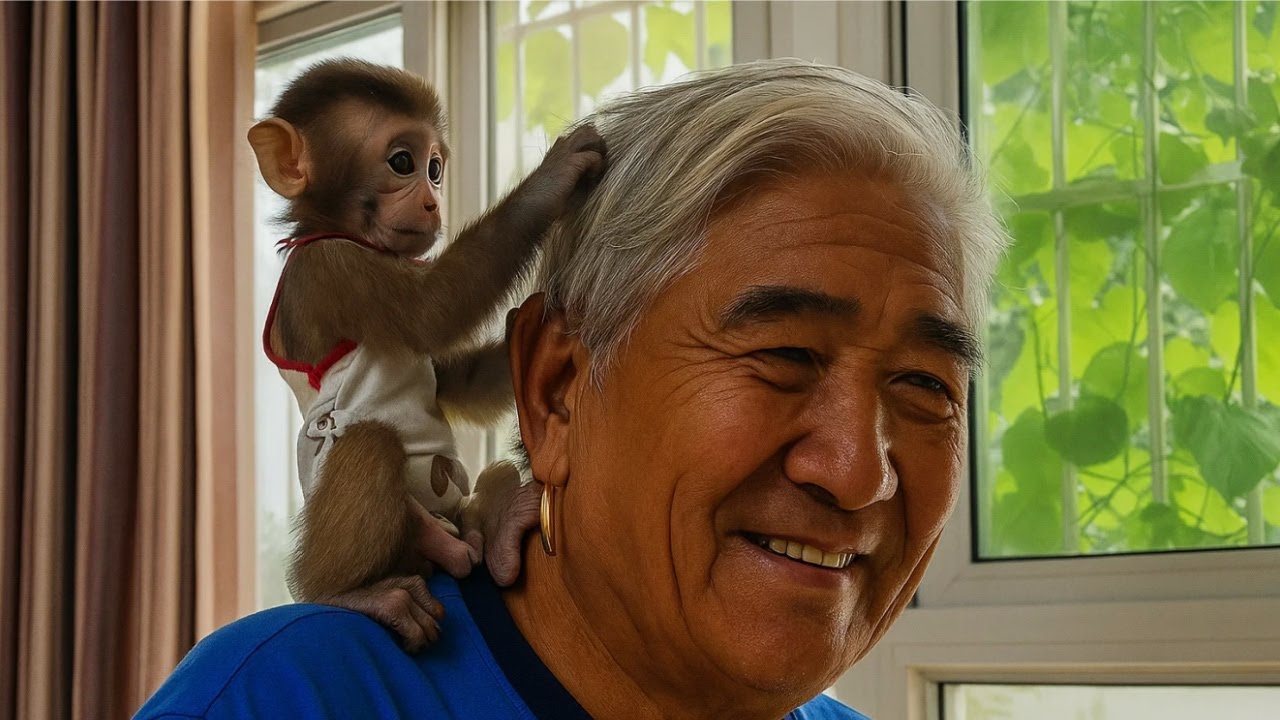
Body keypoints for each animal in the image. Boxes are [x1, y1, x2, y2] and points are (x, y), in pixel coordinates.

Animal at [247, 59, 605, 651]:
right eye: (402, 163)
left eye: (436, 169)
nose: (433, 201)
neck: (333, 229)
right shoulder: (331, 269)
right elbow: (431, 311)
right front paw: (553, 179)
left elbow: (452, 379)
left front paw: (535, 331)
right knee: (370, 445)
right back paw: (354, 593)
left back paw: (497, 530)